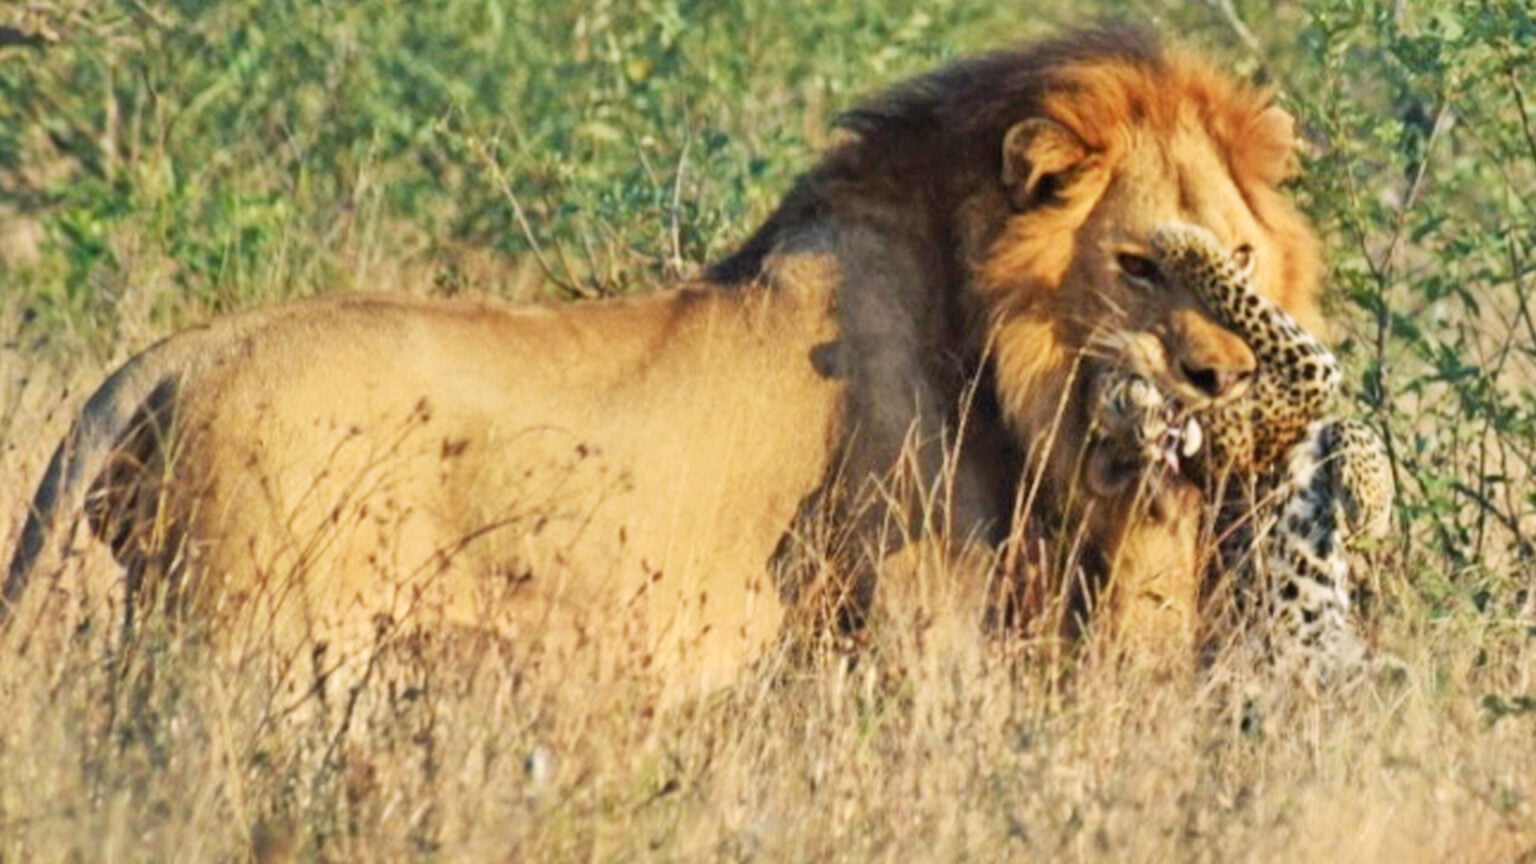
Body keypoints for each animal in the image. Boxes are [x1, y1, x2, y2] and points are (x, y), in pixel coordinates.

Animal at [4, 26, 1323, 695]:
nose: (1222, 380)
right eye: (1141, 263)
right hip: (258, 645)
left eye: (1240, 259)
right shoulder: (914, 615)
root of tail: (163, 361)